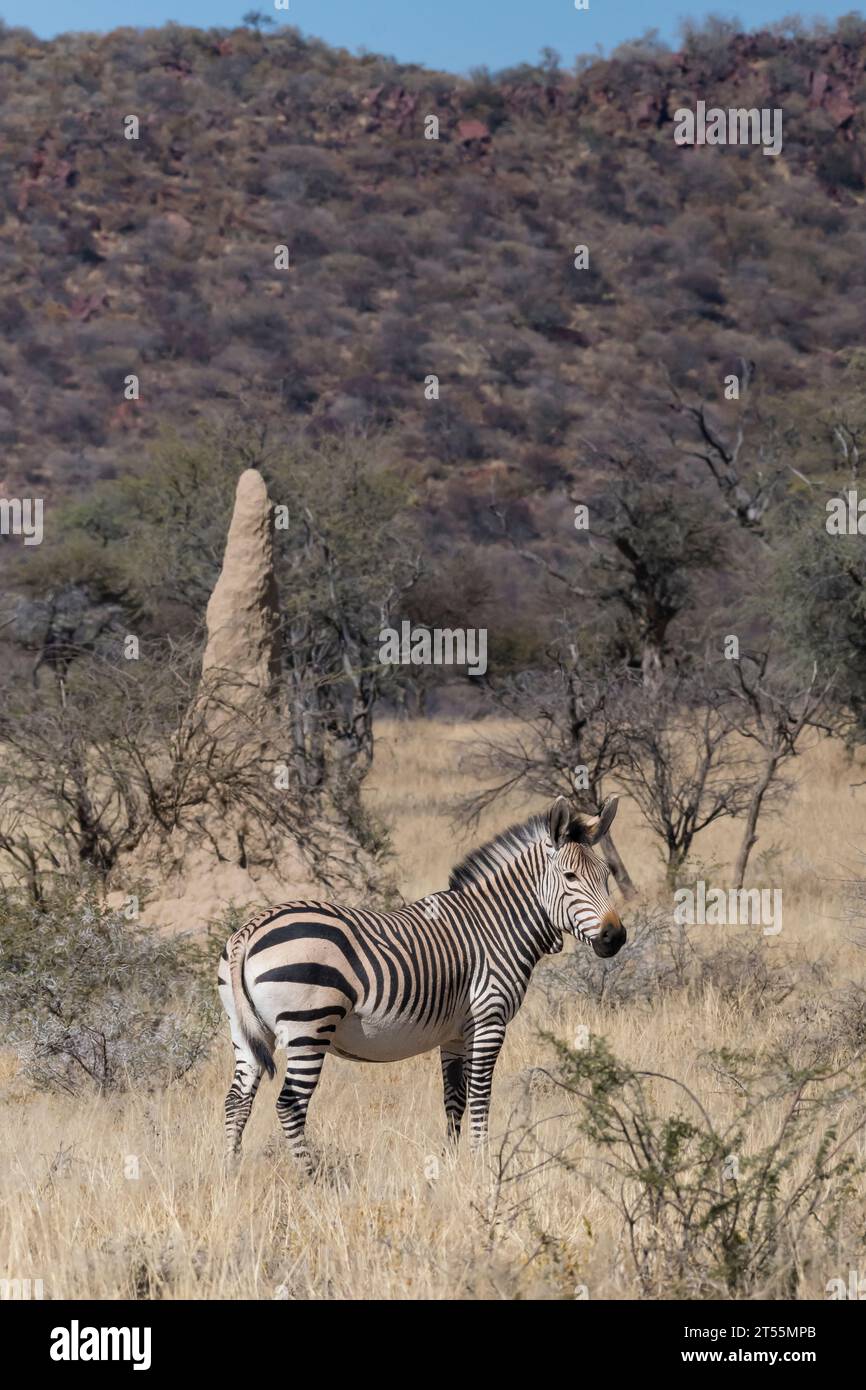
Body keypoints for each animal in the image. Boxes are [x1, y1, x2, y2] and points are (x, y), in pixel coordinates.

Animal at [218, 795, 626, 1168]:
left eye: (606, 877)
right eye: (570, 877)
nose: (616, 937)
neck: (496, 926)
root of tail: (248, 932)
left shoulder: (455, 1034)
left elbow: (455, 1099)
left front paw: (451, 1163)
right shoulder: (489, 1020)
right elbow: (481, 1095)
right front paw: (480, 1162)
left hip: (245, 1031)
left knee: (237, 1100)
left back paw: (230, 1171)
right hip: (309, 1027)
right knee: (289, 1104)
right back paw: (311, 1176)